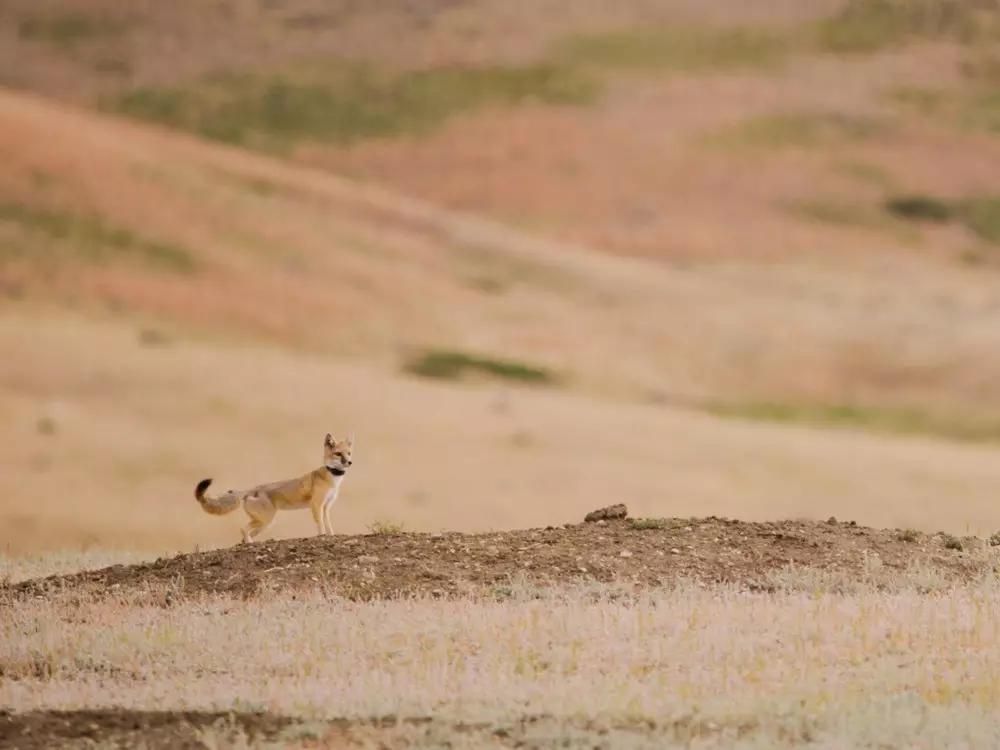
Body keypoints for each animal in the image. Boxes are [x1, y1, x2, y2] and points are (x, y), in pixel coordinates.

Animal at [195, 432, 356, 544]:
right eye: (338, 454)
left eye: (349, 453)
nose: (349, 462)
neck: (332, 478)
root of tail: (251, 489)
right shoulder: (316, 505)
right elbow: (321, 525)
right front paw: (322, 536)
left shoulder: (326, 506)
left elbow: (328, 525)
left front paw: (331, 535)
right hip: (266, 520)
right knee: (243, 529)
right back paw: (250, 544)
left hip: (264, 523)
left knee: (244, 532)